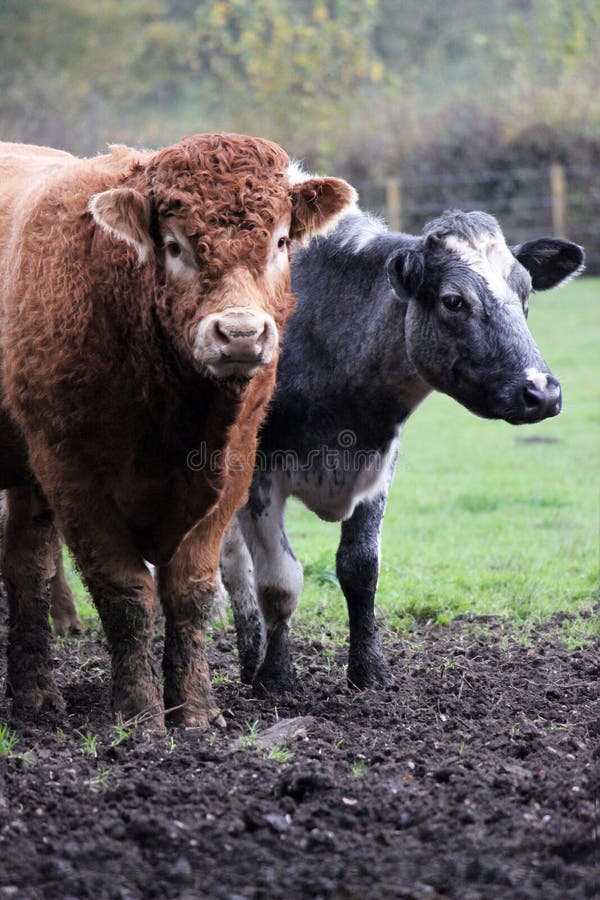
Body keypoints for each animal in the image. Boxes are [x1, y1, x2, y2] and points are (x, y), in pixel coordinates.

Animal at [0, 134, 356, 729]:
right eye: (173, 245)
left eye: (282, 240)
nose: (240, 334)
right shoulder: (72, 475)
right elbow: (126, 593)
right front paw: (140, 711)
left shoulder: (232, 471)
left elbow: (190, 591)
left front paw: (194, 710)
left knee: (27, 565)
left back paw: (34, 695)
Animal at [218, 208, 584, 694]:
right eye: (453, 301)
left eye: (525, 292)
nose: (542, 392)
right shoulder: (257, 471)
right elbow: (279, 581)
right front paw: (276, 678)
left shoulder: (378, 465)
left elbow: (360, 569)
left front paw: (368, 671)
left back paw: (247, 658)